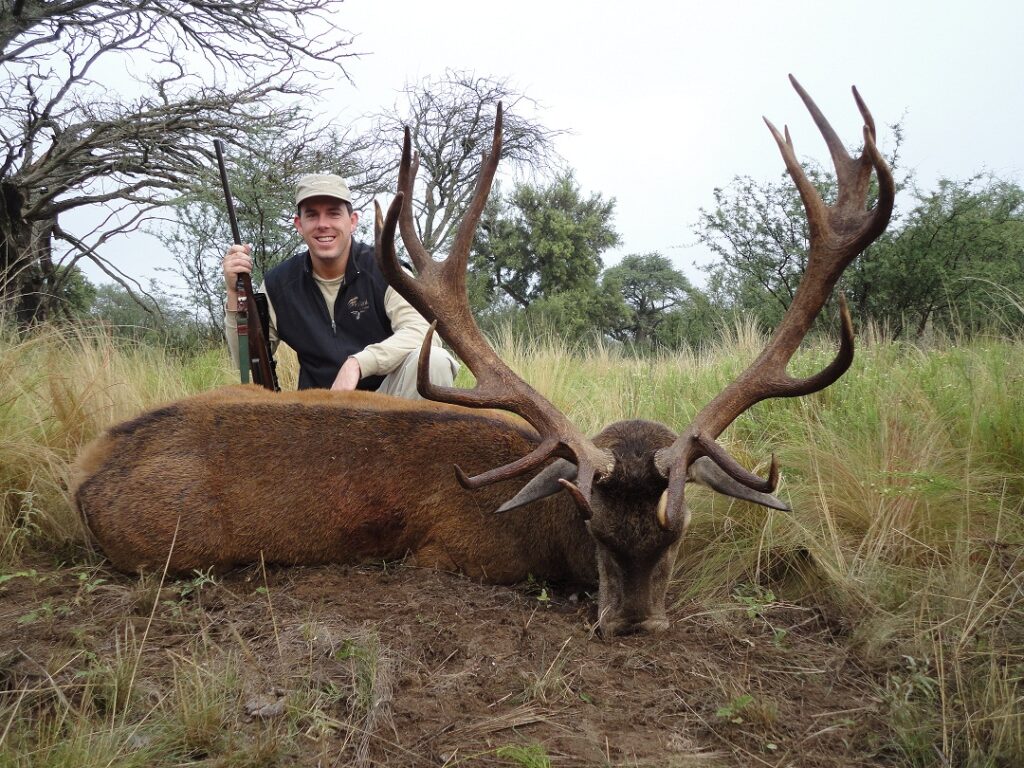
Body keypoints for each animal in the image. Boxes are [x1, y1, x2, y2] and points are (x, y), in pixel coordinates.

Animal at [72, 76, 894, 636]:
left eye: (678, 530)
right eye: (593, 529)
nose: (632, 622)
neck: (542, 524)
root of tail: (84, 474)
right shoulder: (449, 553)